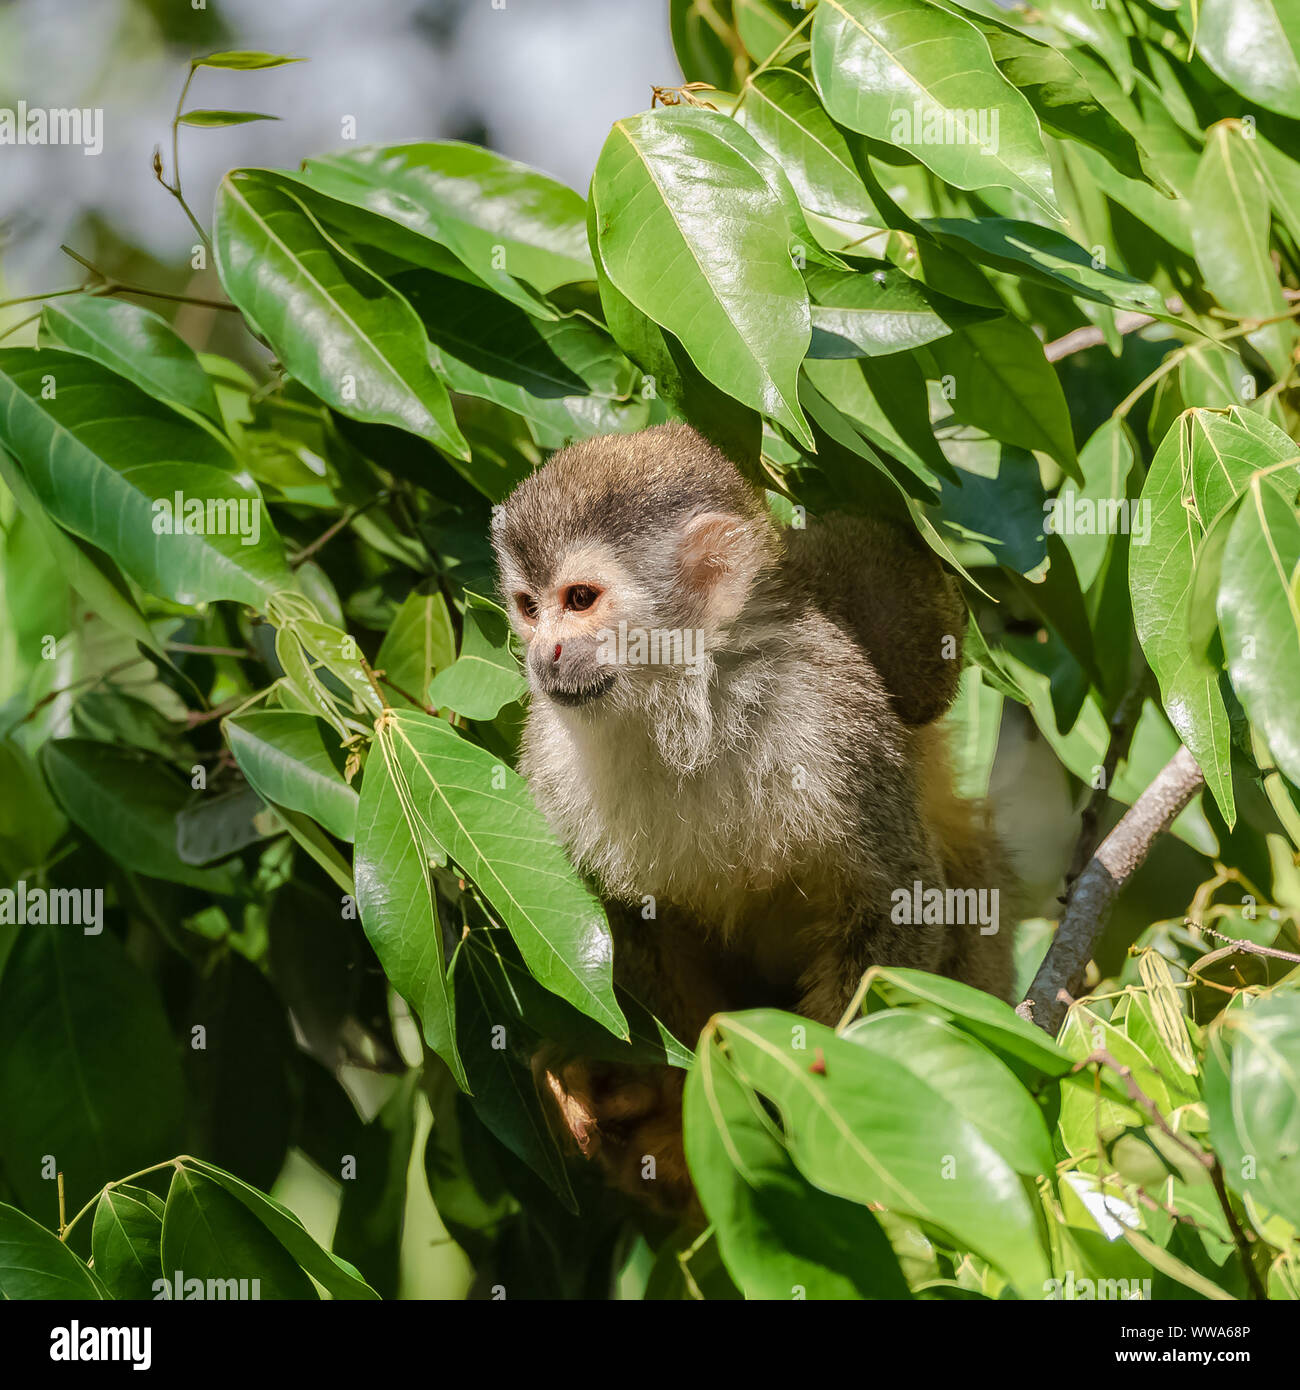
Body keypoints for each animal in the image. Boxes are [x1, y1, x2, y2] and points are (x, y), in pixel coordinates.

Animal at [490, 422, 1015, 1211]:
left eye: (579, 599)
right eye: (528, 605)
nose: (544, 652)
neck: (684, 709)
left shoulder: (833, 713)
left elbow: (900, 898)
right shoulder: (548, 763)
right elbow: (621, 926)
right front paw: (679, 1096)